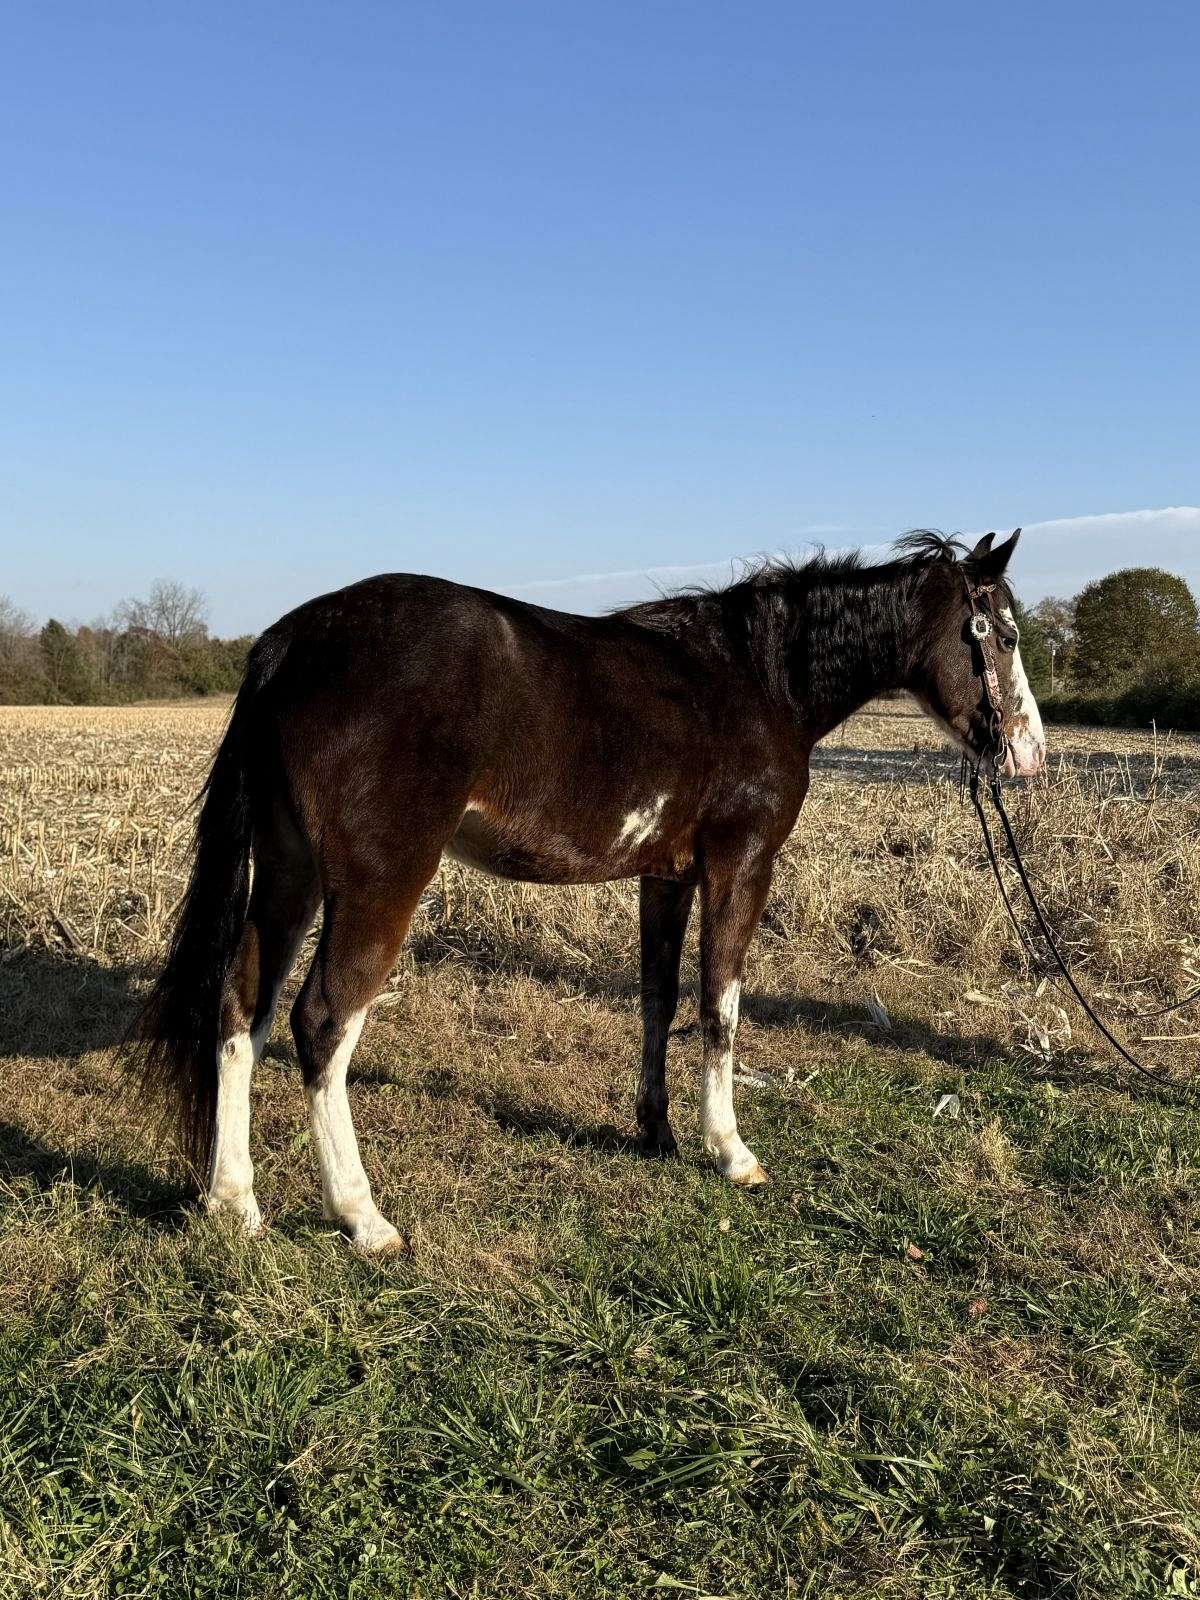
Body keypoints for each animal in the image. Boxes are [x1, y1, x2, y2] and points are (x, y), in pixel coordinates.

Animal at [136, 529, 1045, 1250]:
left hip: (288, 874)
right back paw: (362, 1217)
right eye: (998, 633)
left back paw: (234, 1203)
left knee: (240, 1010)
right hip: (377, 883)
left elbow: (657, 1000)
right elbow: (719, 1007)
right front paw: (731, 1151)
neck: (756, 677)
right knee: (321, 1023)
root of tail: (291, 643)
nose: (1029, 754)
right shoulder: (741, 864)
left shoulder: (666, 877)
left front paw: (657, 1132)